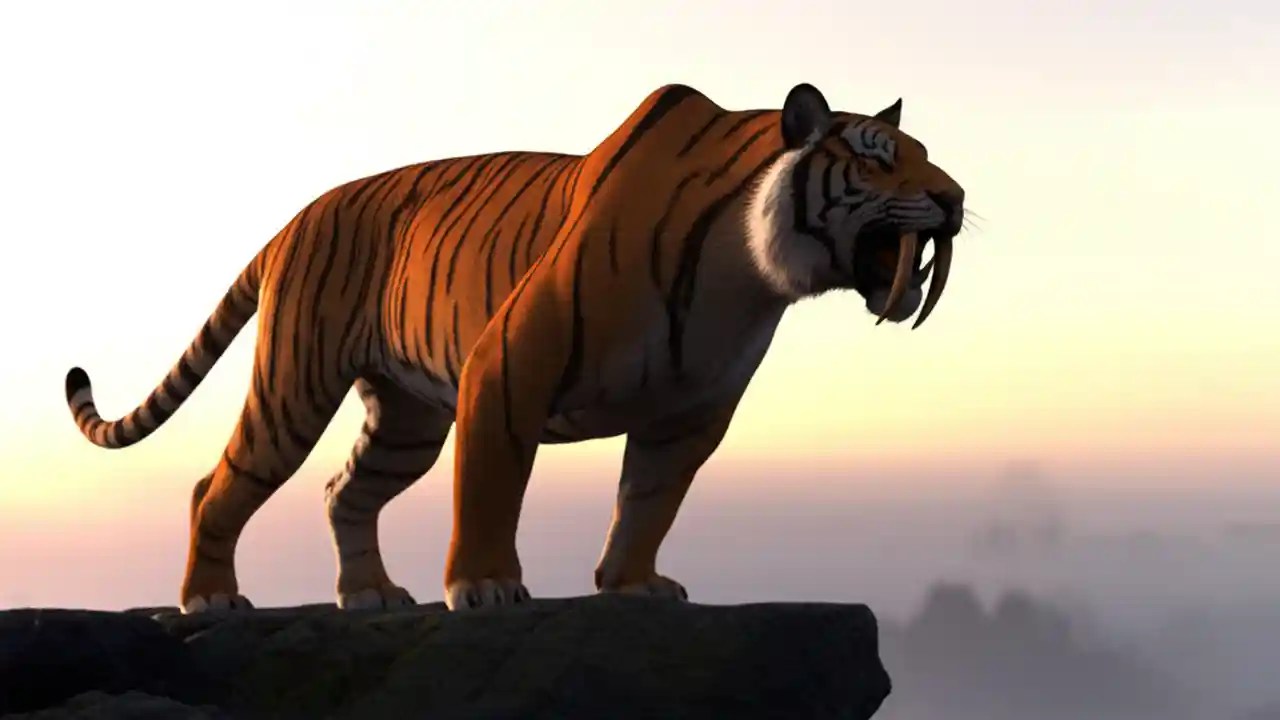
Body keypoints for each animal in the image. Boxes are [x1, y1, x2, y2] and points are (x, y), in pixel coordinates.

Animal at [64, 82, 966, 613]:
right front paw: (486, 586)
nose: (956, 197)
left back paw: (372, 595)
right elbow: (493, 488)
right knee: (218, 484)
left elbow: (649, 501)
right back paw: (210, 599)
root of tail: (297, 218)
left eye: (929, 157)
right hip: (295, 386)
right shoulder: (505, 369)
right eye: (878, 161)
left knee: (344, 492)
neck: (747, 272)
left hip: (405, 423)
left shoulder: (690, 414)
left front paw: (633, 585)